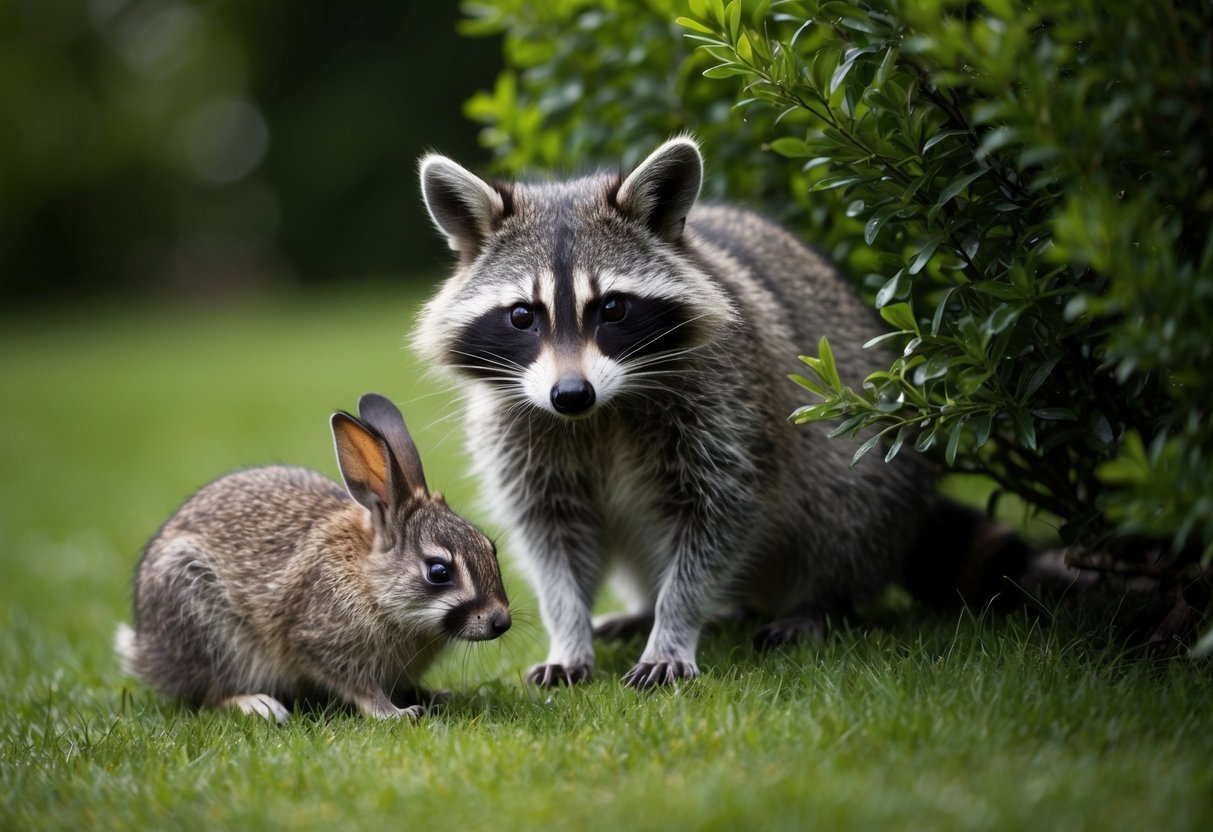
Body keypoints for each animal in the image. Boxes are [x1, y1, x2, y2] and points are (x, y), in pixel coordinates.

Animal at [414, 137, 1014, 688]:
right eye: (522, 315)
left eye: (613, 308)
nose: (571, 394)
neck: (602, 413)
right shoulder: (521, 427)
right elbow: (553, 541)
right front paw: (569, 631)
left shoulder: (731, 404)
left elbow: (718, 521)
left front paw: (674, 625)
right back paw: (642, 609)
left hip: (862, 465)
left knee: (844, 505)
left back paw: (818, 602)